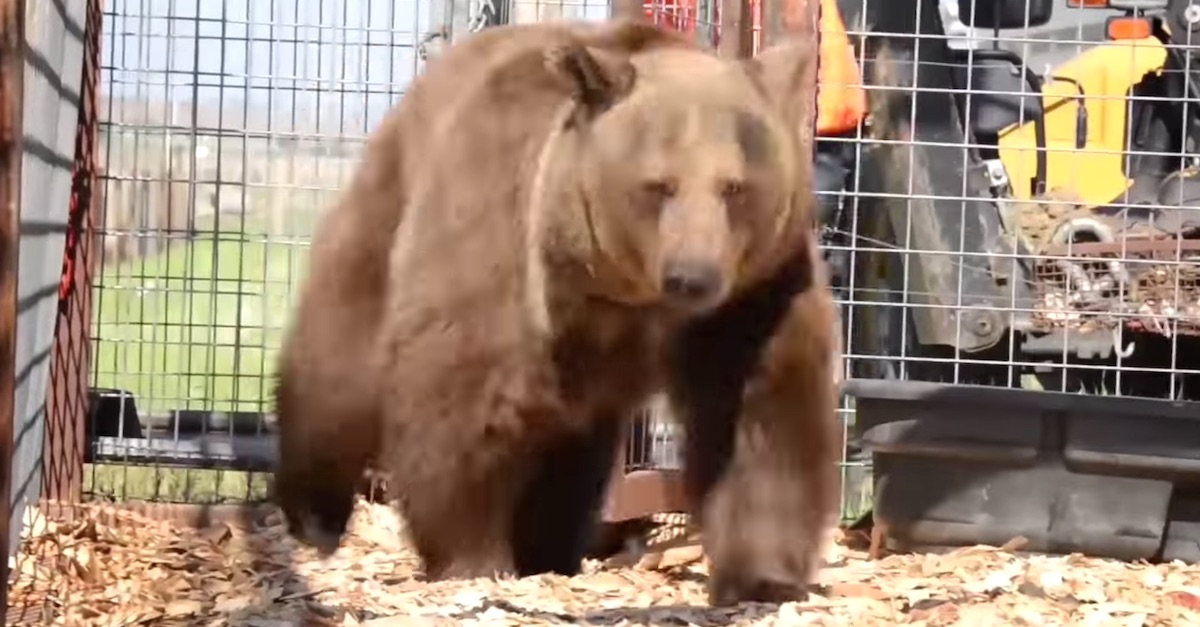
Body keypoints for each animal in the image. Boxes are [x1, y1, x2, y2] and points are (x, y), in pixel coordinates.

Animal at [272, 17, 842, 607]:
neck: (615, 287)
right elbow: (464, 394)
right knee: (339, 361)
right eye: (659, 185)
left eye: (734, 187)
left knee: (570, 454)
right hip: (389, 210)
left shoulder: (751, 294)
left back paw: (550, 548)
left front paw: (765, 579)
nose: (692, 276)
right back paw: (314, 514)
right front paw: (471, 557)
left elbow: (761, 415)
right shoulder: (504, 237)